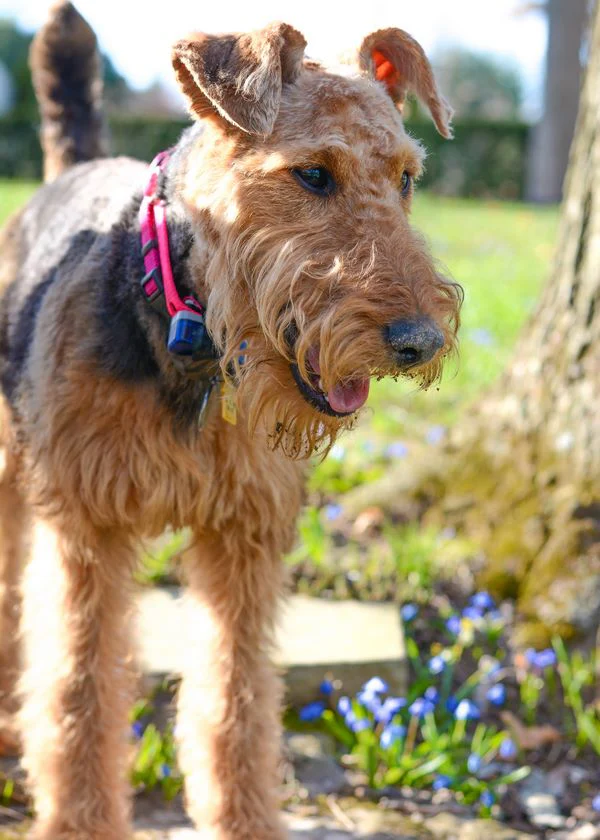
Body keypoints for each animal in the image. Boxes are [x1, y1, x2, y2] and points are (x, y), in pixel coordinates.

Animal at [0, 3, 462, 836]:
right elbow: (79, 693)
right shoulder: (88, 528)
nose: (419, 342)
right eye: (313, 173)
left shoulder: (243, 537)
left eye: (407, 178)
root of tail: (76, 168)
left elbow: (235, 704)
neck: (194, 343)